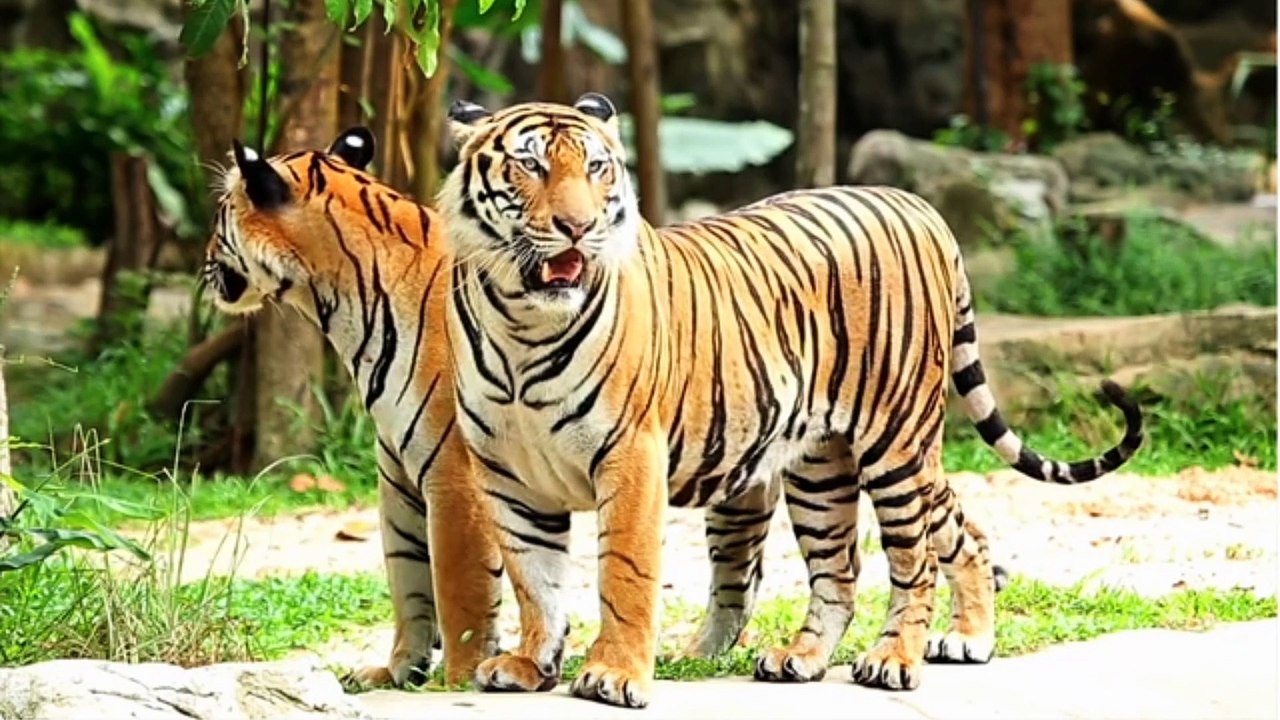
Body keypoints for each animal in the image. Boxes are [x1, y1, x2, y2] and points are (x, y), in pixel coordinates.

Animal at [201, 127, 505, 687]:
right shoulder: (400, 477)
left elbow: (460, 586)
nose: (205, 262)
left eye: (219, 216)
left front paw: (459, 679)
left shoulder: (457, 476)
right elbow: (408, 576)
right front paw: (397, 671)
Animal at [436, 93, 1145, 708]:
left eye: (597, 168)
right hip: (825, 463)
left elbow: (624, 574)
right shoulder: (508, 475)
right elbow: (535, 579)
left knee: (913, 559)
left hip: (895, 442)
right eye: (531, 165)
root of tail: (918, 206)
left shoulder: (631, 457)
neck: (522, 325)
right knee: (875, 560)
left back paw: (896, 658)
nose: (577, 227)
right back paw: (850, 652)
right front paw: (529, 664)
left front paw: (613, 675)